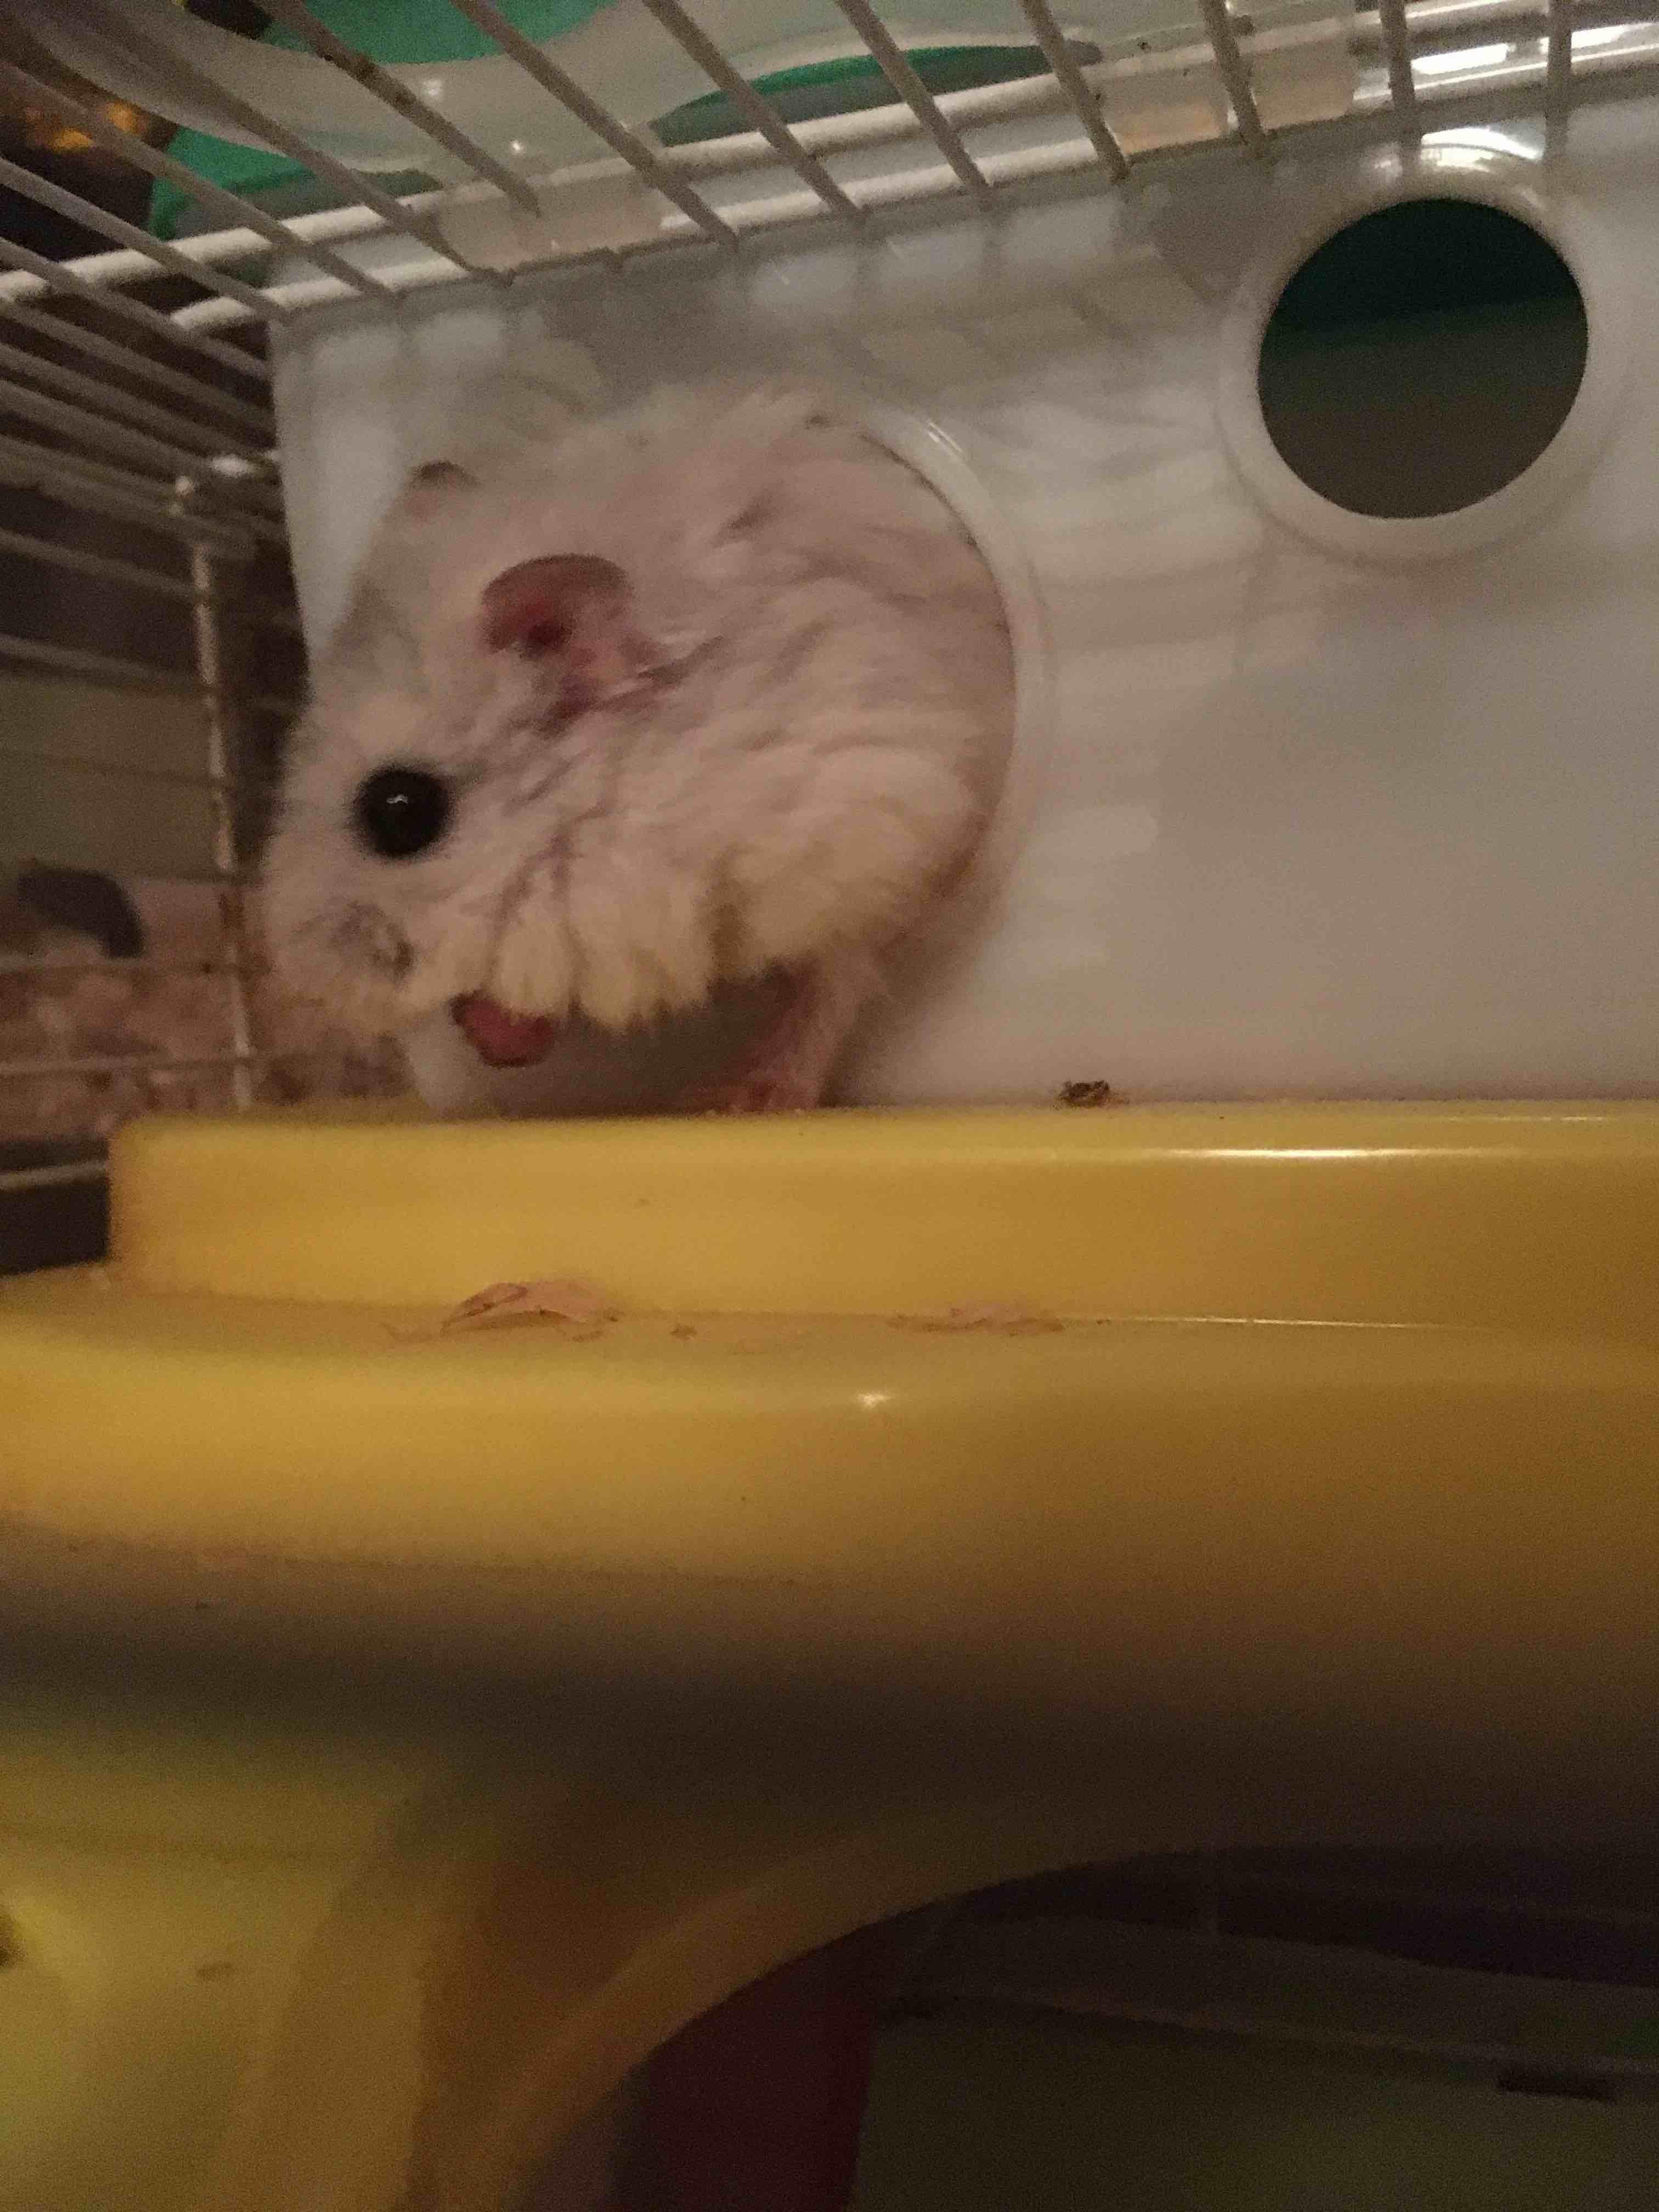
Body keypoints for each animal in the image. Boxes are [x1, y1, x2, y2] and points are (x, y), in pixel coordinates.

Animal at [263, 379, 1013, 1113]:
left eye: (400, 810)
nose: (303, 982)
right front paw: (497, 1036)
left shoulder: (878, 822)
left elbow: (832, 983)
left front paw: (740, 1097)